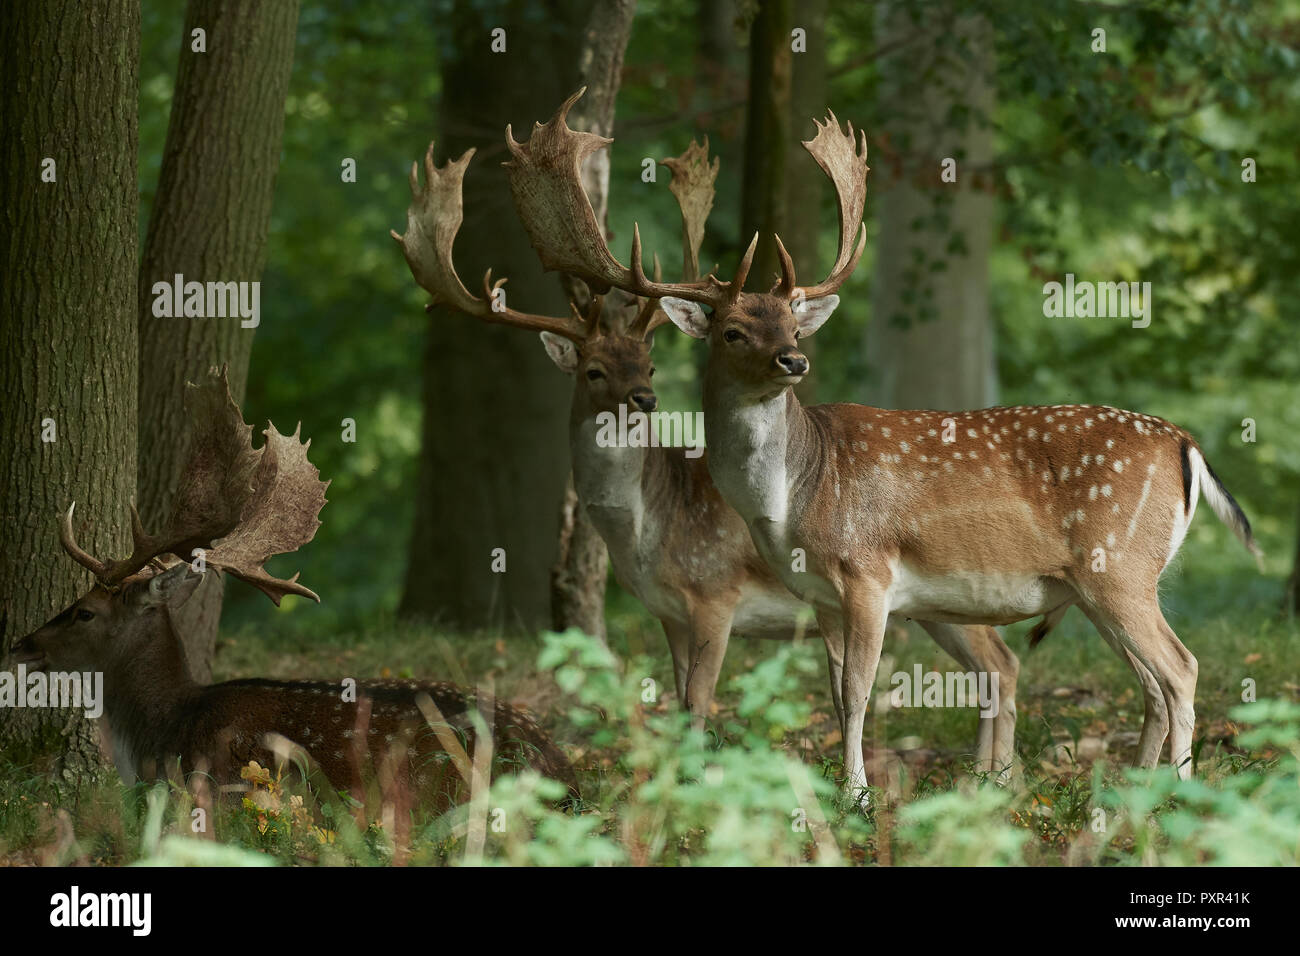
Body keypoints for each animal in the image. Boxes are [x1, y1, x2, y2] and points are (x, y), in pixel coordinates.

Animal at [390, 88, 1024, 781]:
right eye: (594, 370)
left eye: (649, 365)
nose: (644, 399)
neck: (645, 535)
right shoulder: (669, 614)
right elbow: (677, 700)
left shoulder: (715, 595)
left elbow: (698, 701)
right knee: (1000, 663)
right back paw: (990, 784)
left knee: (1000, 661)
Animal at [488, 95, 1263, 796]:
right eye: (734, 330)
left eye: (791, 324)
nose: (794, 360)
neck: (794, 497)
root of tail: (1186, 444)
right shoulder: (823, 597)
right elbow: (833, 695)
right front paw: (844, 788)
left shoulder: (864, 573)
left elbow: (859, 692)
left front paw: (855, 796)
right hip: (1099, 585)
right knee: (1148, 681)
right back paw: (1130, 793)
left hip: (1120, 567)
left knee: (1180, 668)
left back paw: (1176, 797)